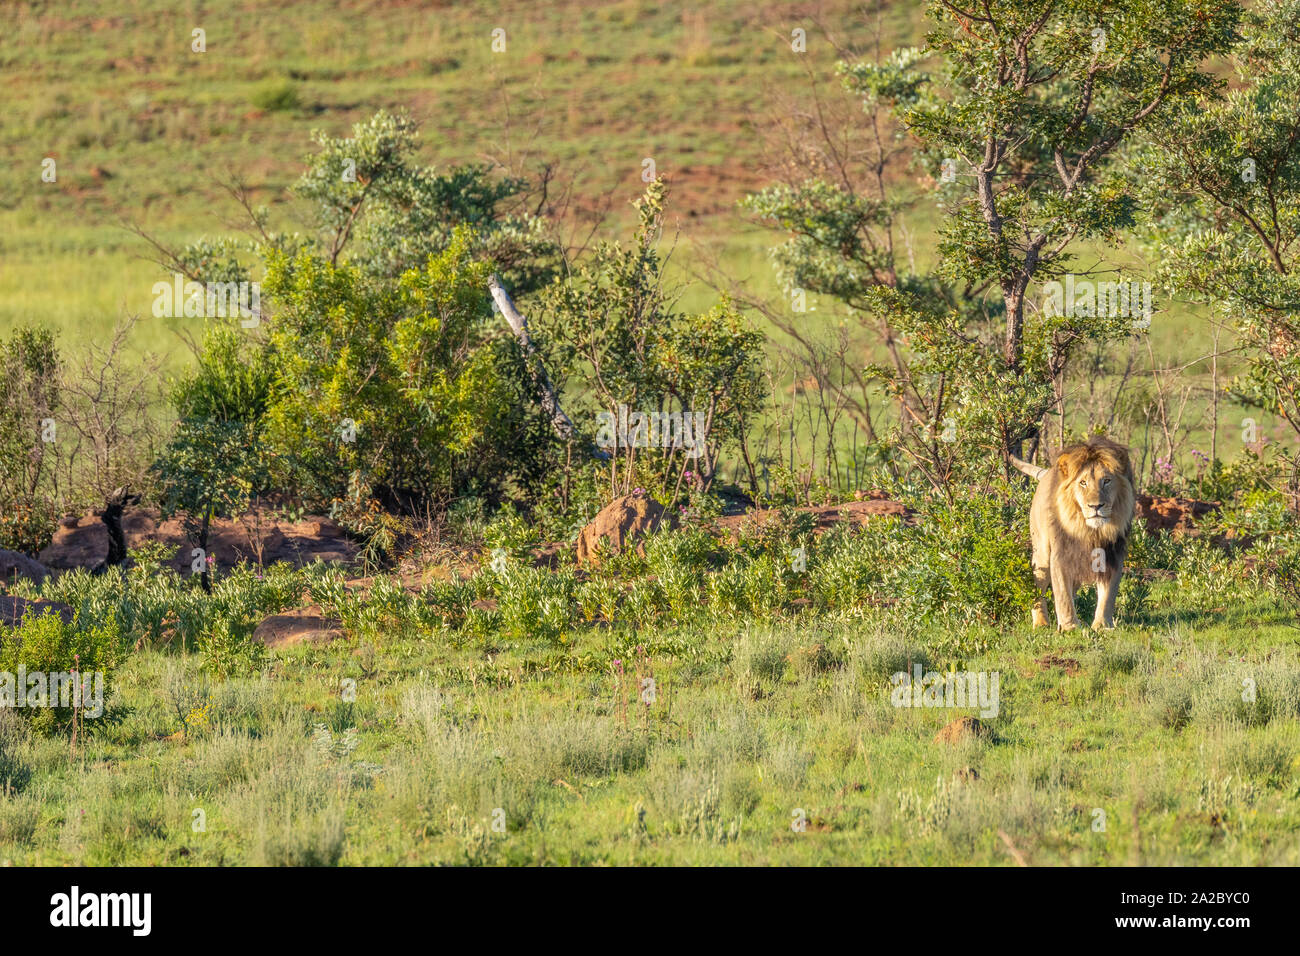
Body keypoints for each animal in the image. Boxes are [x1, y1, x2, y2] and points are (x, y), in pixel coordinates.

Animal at [1009, 436, 1137, 631]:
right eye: (1083, 483)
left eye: (1106, 481)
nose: (1096, 506)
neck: (1091, 531)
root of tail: (1047, 473)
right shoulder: (1060, 555)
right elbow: (1063, 594)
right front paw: (1070, 627)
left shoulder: (1112, 555)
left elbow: (1108, 595)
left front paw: (1101, 625)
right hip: (1042, 553)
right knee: (1038, 586)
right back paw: (1041, 623)